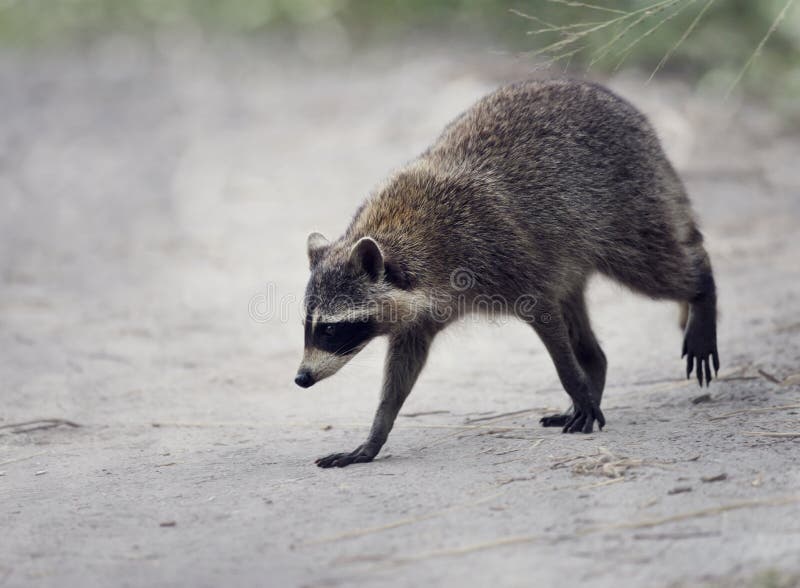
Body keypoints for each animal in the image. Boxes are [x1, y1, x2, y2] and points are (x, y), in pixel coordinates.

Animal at [296, 79, 719, 468]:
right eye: (307, 326)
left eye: (330, 329)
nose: (301, 378)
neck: (400, 239)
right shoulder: (418, 315)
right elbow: (402, 369)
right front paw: (375, 434)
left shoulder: (499, 256)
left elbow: (546, 318)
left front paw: (575, 384)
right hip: (570, 252)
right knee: (580, 318)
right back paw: (594, 366)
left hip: (625, 206)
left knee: (653, 265)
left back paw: (701, 289)